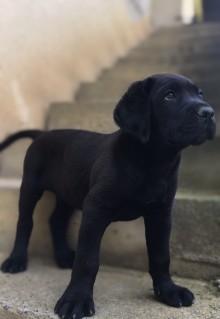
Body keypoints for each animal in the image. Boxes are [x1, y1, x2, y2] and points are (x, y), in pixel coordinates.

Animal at [0, 74, 217, 318]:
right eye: (169, 95)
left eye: (200, 94)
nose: (209, 112)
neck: (151, 160)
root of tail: (42, 134)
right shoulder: (96, 209)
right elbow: (87, 259)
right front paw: (76, 300)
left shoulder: (161, 213)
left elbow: (161, 255)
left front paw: (168, 291)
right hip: (30, 187)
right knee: (25, 222)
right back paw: (16, 260)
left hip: (69, 192)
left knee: (56, 220)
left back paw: (64, 256)